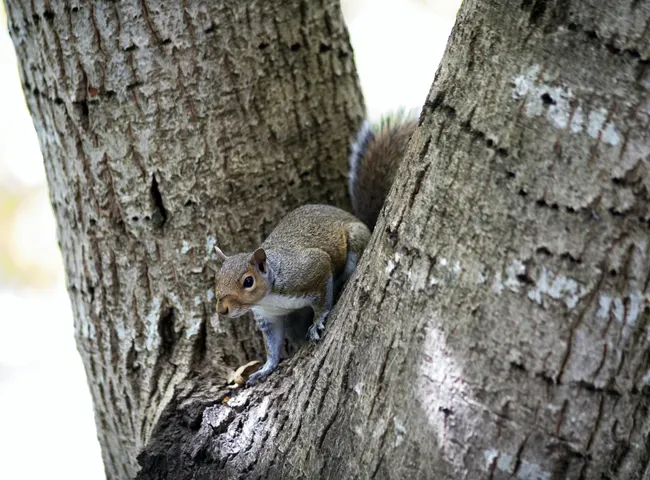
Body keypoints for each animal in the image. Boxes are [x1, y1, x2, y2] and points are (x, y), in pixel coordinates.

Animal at [214, 113, 417, 385]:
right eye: (215, 280)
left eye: (248, 281)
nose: (222, 310)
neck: (270, 295)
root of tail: (366, 224)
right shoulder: (268, 317)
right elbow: (273, 345)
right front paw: (266, 368)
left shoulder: (309, 271)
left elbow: (322, 296)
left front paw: (318, 322)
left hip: (354, 239)